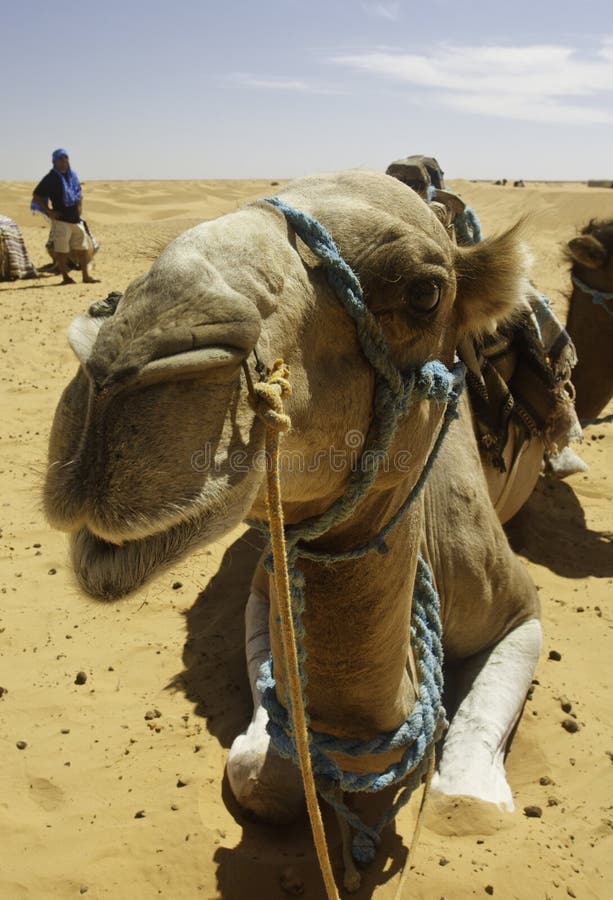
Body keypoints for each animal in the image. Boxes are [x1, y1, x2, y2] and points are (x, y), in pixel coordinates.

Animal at [44, 171, 542, 894]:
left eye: (424, 293)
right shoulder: (264, 584)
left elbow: (464, 800)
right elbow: (258, 770)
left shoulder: (518, 606)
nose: (113, 369)